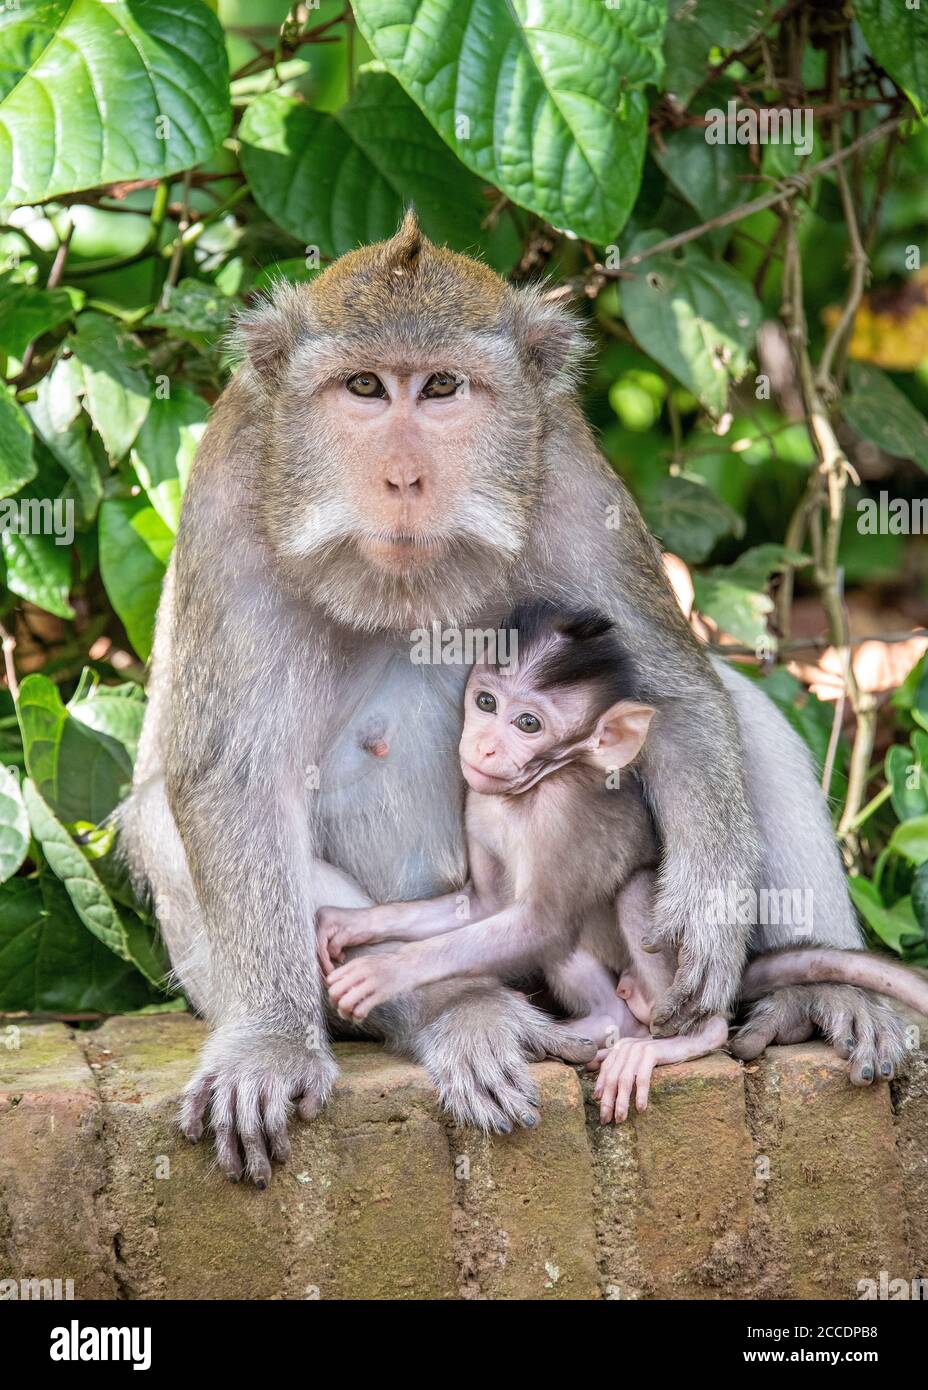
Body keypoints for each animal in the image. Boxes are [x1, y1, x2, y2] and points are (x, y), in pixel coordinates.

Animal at [120, 211, 908, 1184]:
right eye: (365, 387)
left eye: (443, 387)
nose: (404, 479)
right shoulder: (229, 491)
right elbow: (235, 776)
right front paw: (270, 1043)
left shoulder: (565, 463)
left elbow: (676, 685)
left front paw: (712, 910)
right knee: (171, 823)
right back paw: (467, 1015)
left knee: (744, 713)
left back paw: (822, 988)